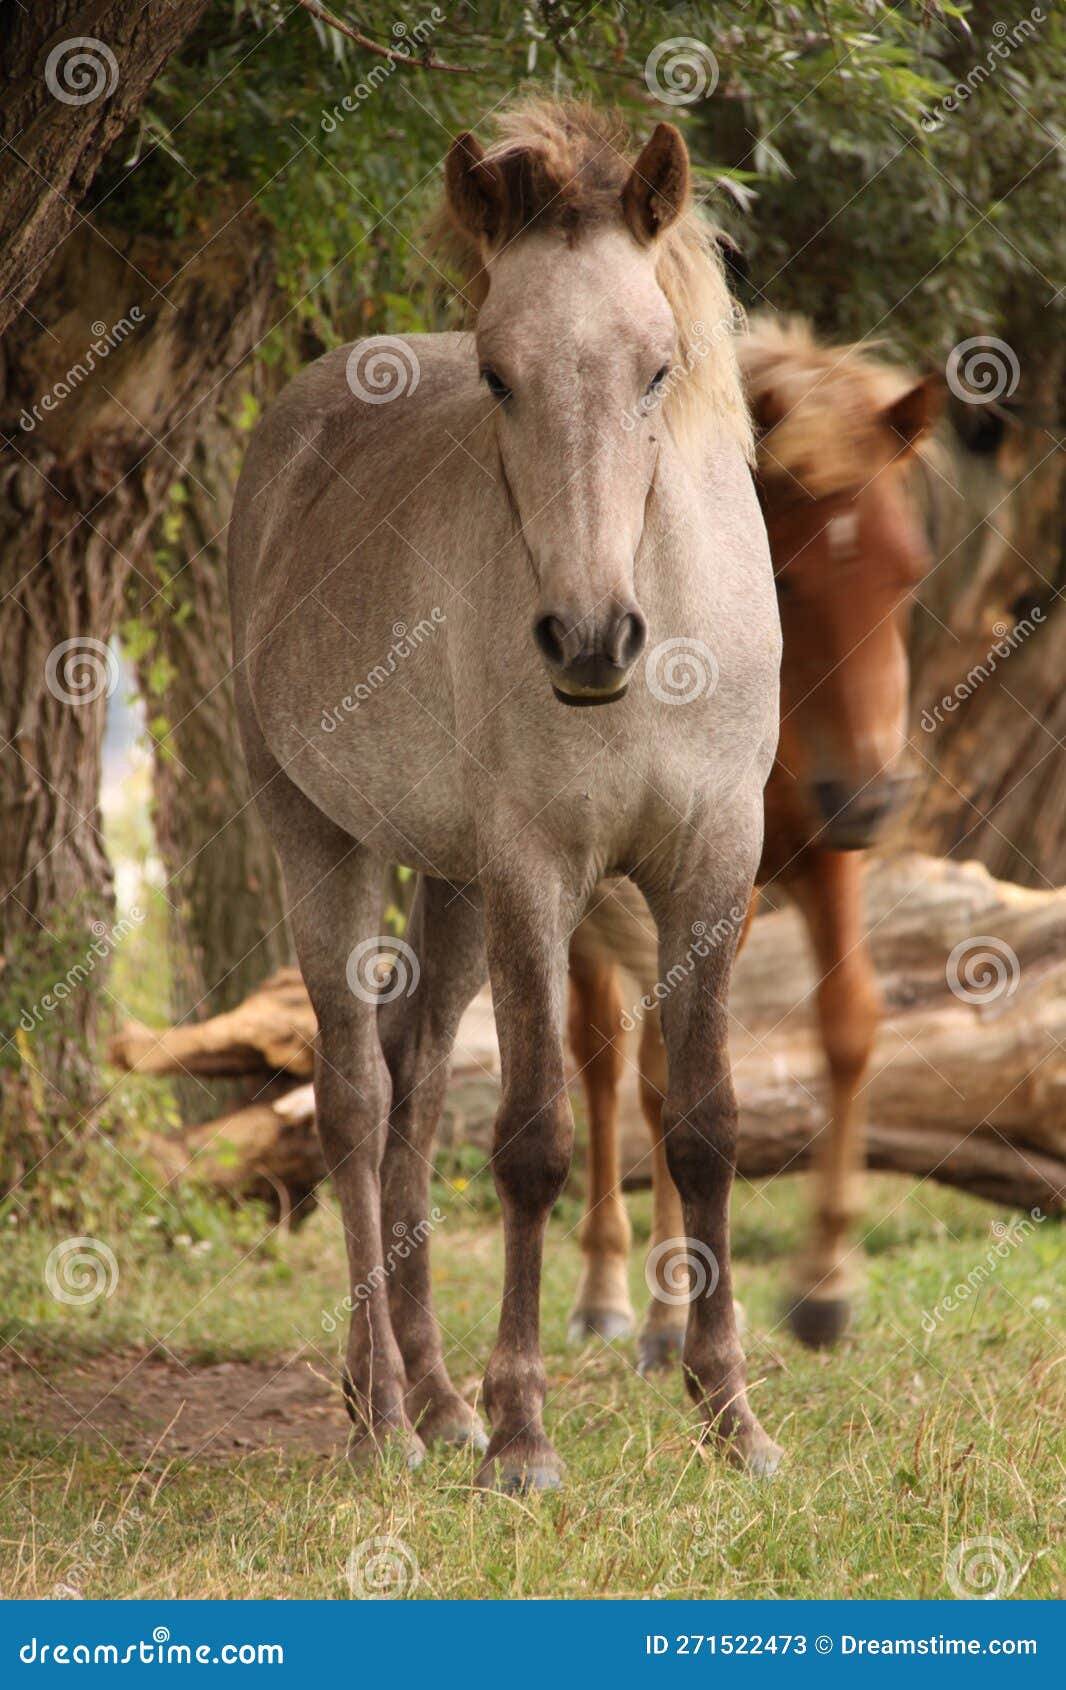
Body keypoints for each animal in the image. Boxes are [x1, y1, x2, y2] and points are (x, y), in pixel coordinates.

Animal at [228, 99, 783, 1491]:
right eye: (496, 375)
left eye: (655, 368)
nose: (589, 639)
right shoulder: (538, 875)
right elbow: (534, 1141)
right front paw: (526, 1431)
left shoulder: (713, 865)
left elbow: (703, 1123)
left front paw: (728, 1412)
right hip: (322, 842)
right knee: (358, 1103)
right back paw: (381, 1412)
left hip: (452, 883)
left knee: (418, 1099)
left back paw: (434, 1400)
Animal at [567, 316, 940, 1368]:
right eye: (782, 575)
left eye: (909, 573)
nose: (870, 797)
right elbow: (661, 1074)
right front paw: (671, 1307)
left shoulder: (825, 858)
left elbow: (850, 1027)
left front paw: (825, 1285)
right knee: (601, 1059)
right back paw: (607, 1293)